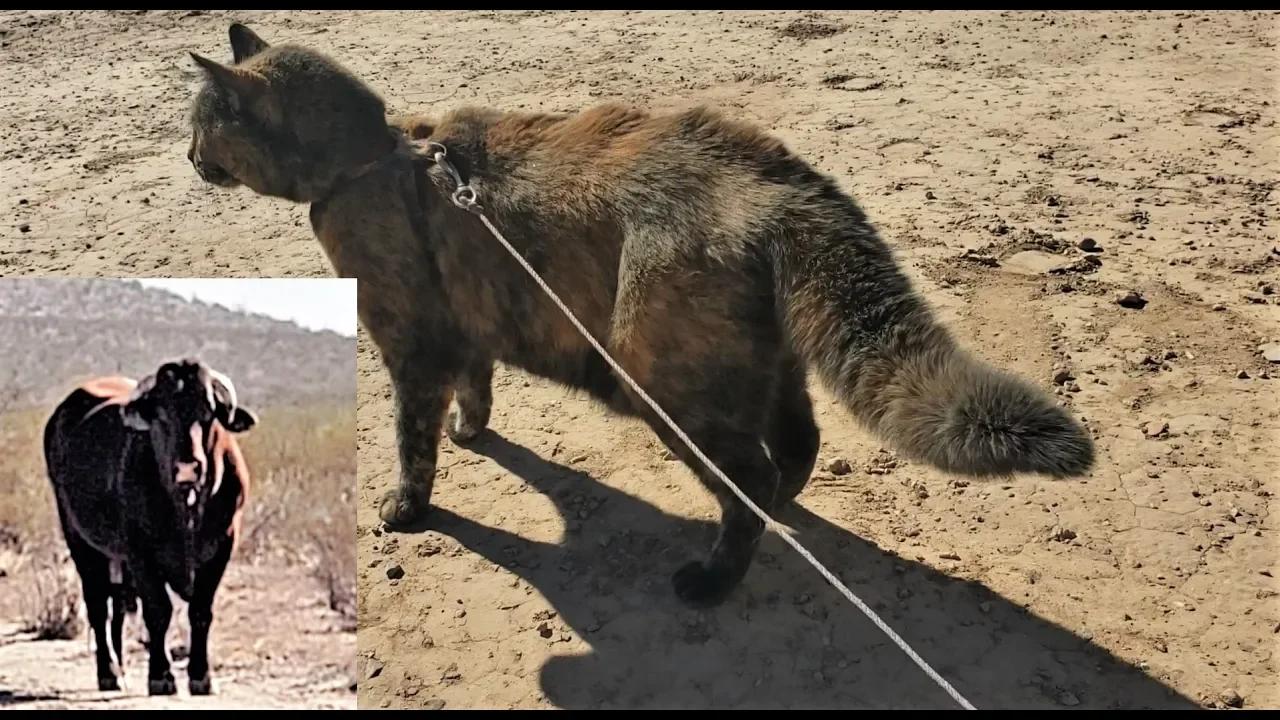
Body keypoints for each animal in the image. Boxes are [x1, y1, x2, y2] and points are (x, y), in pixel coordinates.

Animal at [43, 358, 257, 696]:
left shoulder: (223, 546)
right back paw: (109, 672)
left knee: (117, 606)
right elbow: (158, 611)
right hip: (80, 541)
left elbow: (200, 611)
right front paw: (161, 675)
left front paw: (201, 676)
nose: (187, 468)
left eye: (209, 411)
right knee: (98, 606)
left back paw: (121, 667)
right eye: (161, 414)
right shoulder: (140, 553)